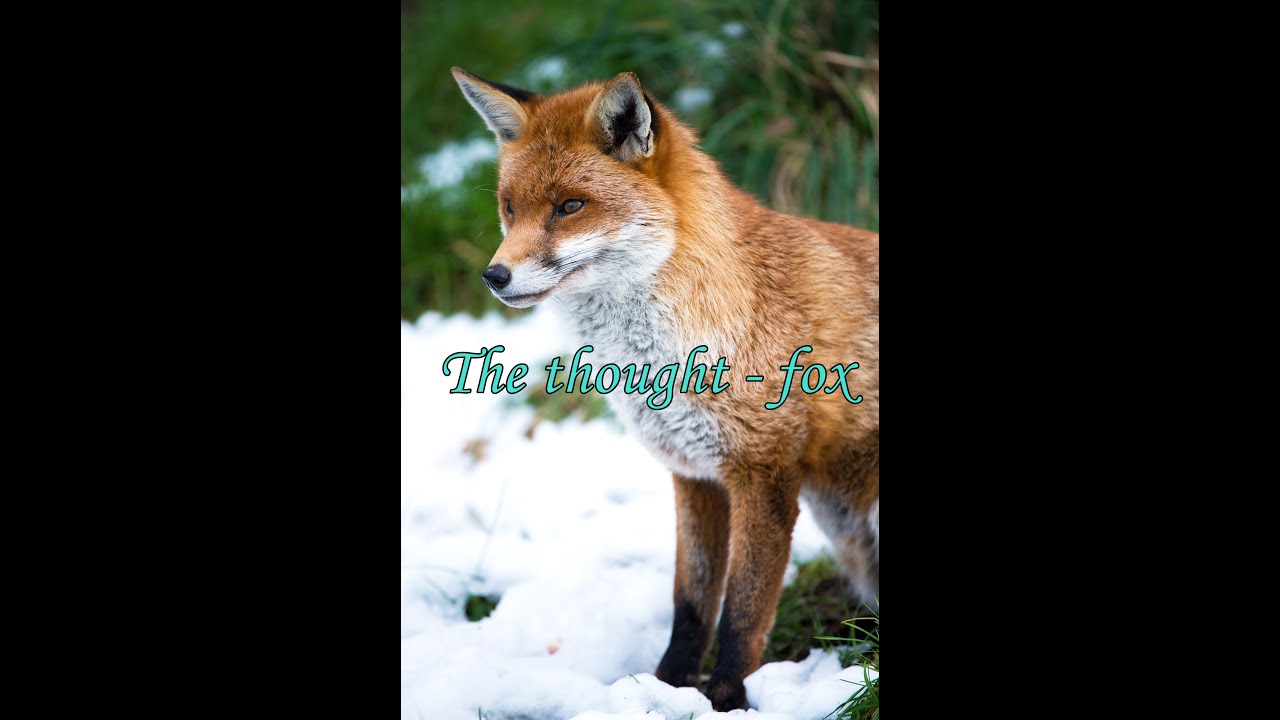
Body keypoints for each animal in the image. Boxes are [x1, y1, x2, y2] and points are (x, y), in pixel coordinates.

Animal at [451, 66, 878, 711]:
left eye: (569, 207)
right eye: (509, 208)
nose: (494, 277)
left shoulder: (764, 471)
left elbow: (743, 612)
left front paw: (725, 700)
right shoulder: (693, 472)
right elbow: (692, 603)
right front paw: (665, 687)